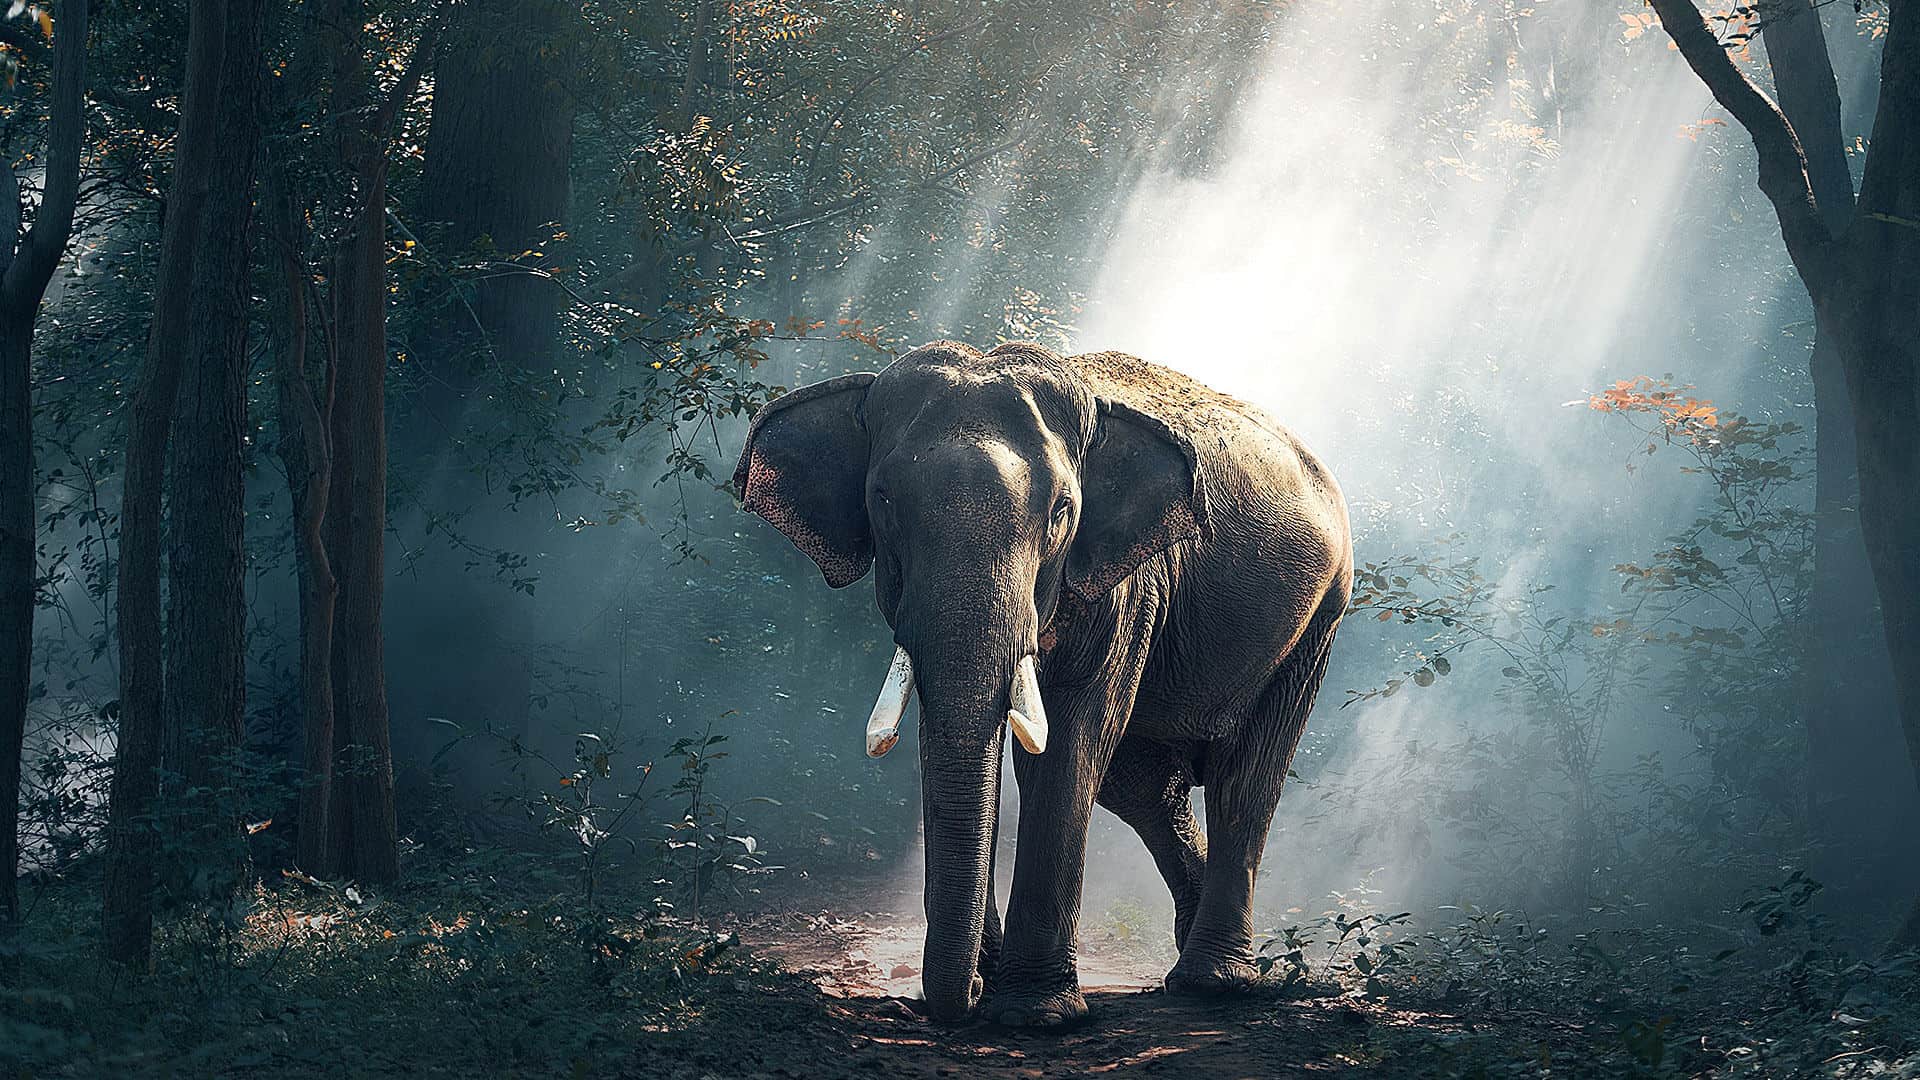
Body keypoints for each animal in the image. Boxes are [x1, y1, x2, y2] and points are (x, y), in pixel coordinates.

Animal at [732, 340, 1351, 1026]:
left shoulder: (1126, 584)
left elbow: (1068, 744)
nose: (966, 995)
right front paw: (992, 981)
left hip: (1318, 618)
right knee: (1142, 788)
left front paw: (1034, 1014)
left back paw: (1214, 983)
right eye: (883, 501)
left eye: (1061, 511)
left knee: (1244, 779)